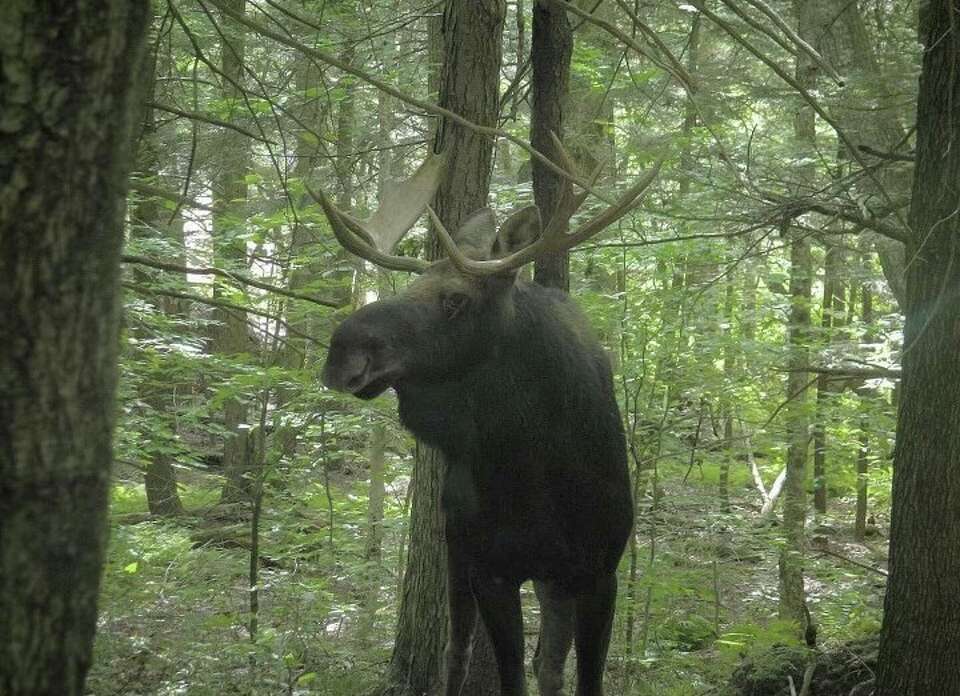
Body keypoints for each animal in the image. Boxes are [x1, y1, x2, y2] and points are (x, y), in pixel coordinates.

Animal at [317, 145, 659, 696]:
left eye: (456, 299)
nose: (342, 350)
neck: (538, 465)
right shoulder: (493, 570)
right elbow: (509, 676)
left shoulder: (600, 572)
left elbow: (581, 678)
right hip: (459, 549)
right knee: (456, 652)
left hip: (553, 577)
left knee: (550, 666)